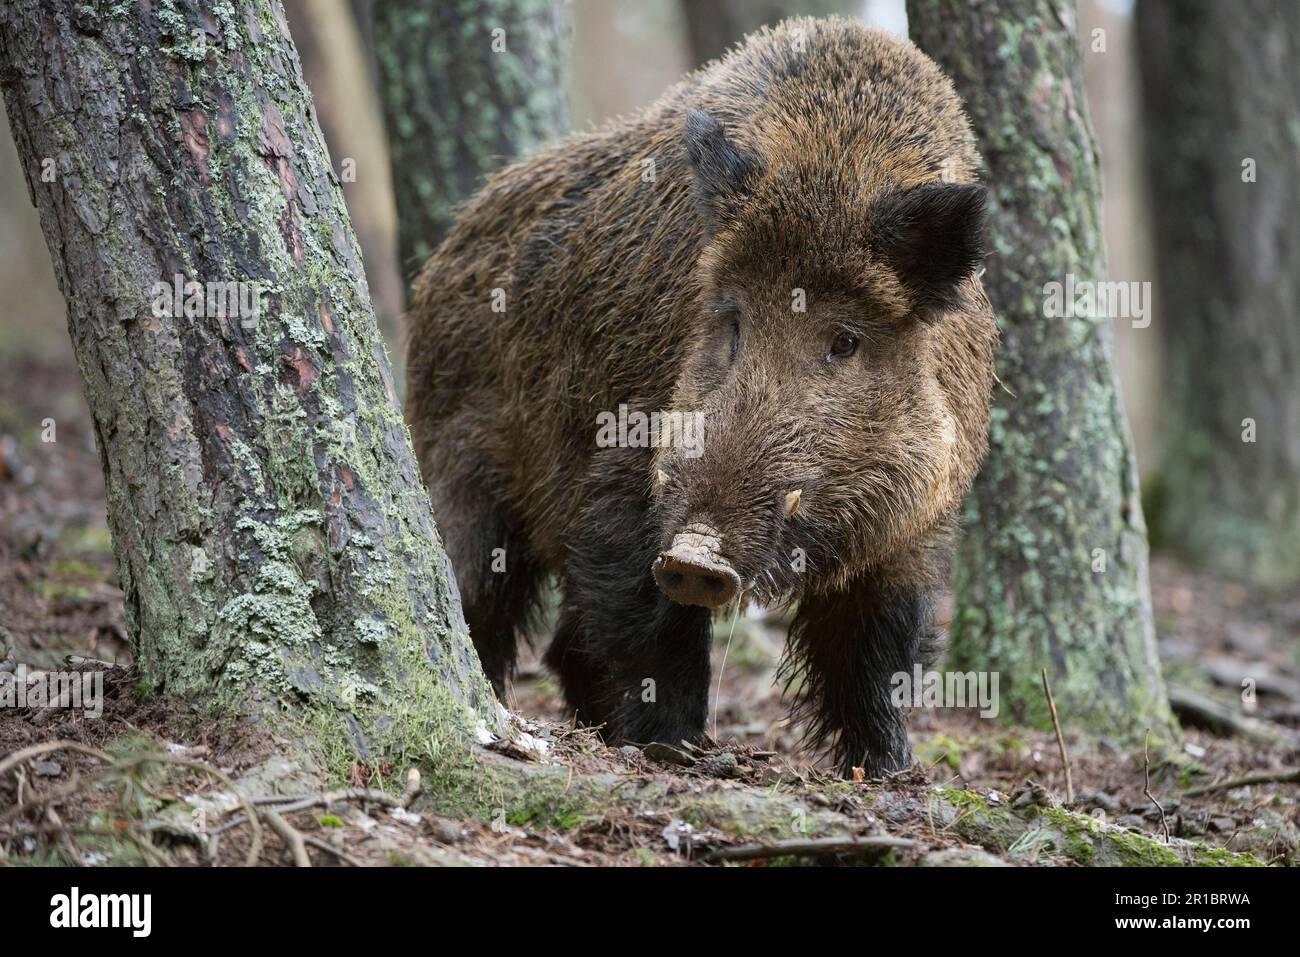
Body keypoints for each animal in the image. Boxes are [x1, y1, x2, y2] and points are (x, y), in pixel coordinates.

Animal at [405, 17, 996, 776]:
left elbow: (881, 642)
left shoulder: (919, 522)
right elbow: (647, 621)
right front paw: (676, 749)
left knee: (564, 641)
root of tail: (449, 246)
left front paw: (889, 769)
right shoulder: (624, 461)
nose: (696, 555)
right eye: (731, 320)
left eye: (844, 341)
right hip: (458, 462)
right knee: (476, 590)